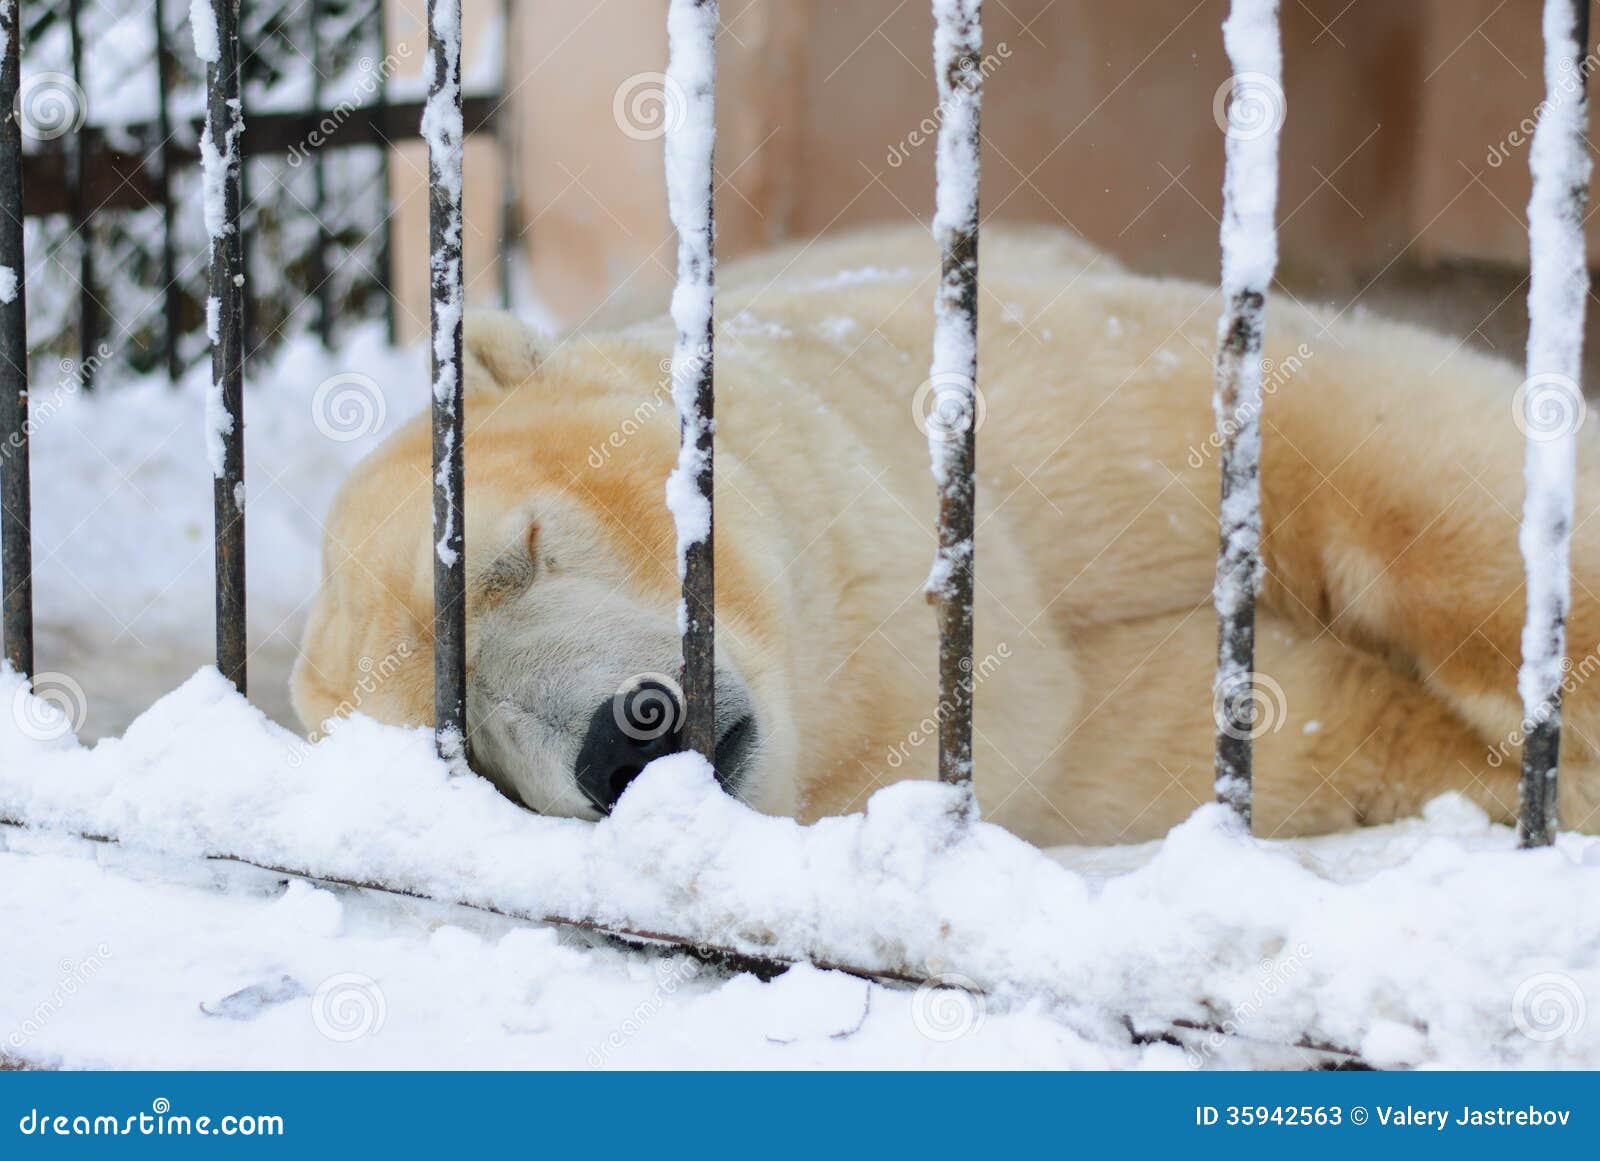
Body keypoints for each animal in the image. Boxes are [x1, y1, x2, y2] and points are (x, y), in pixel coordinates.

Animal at [292, 223, 1600, 846]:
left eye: (516, 553)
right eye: (469, 755)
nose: (623, 740)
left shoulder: (993, 415)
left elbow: (1345, 424)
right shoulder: (1096, 754)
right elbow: (1344, 722)